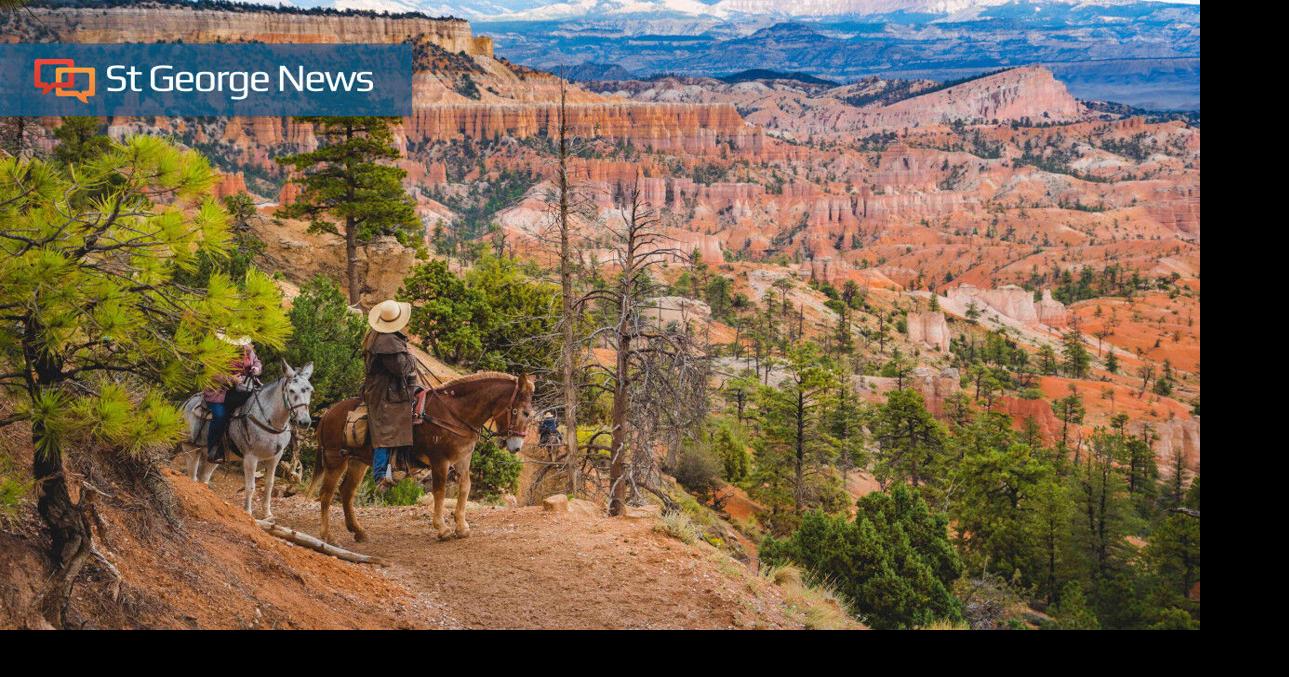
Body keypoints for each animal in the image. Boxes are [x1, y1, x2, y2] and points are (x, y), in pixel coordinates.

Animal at [178, 361, 315, 521]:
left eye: (310, 390)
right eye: (292, 390)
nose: (305, 422)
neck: (268, 419)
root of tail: (187, 403)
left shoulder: (275, 458)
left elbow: (269, 484)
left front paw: (267, 514)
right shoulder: (251, 457)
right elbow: (250, 486)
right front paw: (248, 513)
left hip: (211, 457)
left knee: (203, 478)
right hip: (190, 449)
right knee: (191, 476)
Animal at [309, 371, 534, 544]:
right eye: (524, 412)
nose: (516, 446)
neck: (454, 414)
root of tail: (328, 414)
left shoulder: (462, 460)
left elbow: (465, 487)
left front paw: (461, 527)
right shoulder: (439, 460)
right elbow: (439, 491)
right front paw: (442, 529)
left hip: (357, 462)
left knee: (347, 492)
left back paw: (359, 531)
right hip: (335, 459)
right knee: (326, 494)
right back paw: (327, 536)